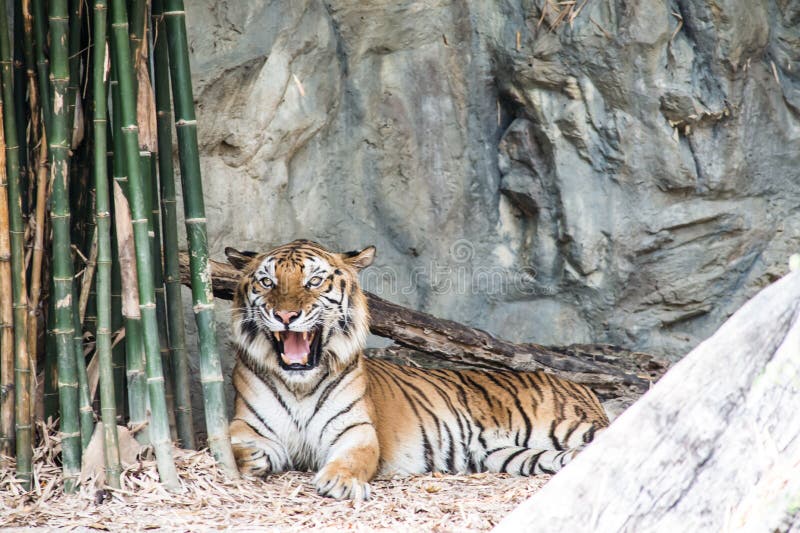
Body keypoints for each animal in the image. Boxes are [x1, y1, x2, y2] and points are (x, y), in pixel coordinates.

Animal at [225, 240, 609, 500]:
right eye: (267, 282)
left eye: (314, 282)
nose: (285, 316)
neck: (300, 383)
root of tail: (579, 386)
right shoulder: (247, 424)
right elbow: (236, 444)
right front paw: (255, 457)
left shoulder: (356, 431)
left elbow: (351, 459)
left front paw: (340, 482)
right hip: (509, 455)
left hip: (566, 427)